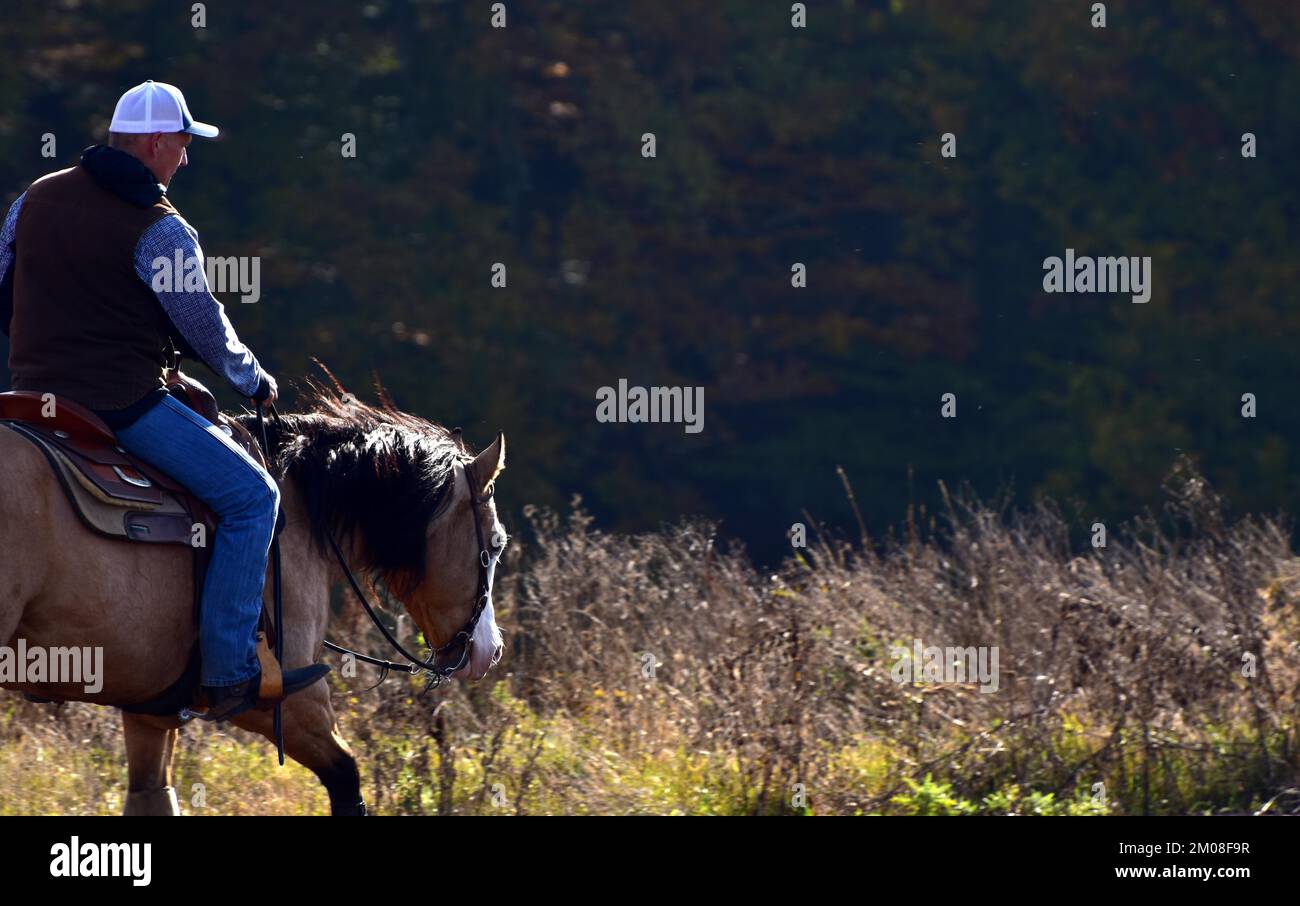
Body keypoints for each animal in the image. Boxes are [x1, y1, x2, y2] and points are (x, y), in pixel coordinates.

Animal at [0, 385, 506, 815]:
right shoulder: (290, 702)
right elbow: (347, 779)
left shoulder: (148, 712)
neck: (302, 514)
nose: (491, 651)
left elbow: (153, 795)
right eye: (496, 544)